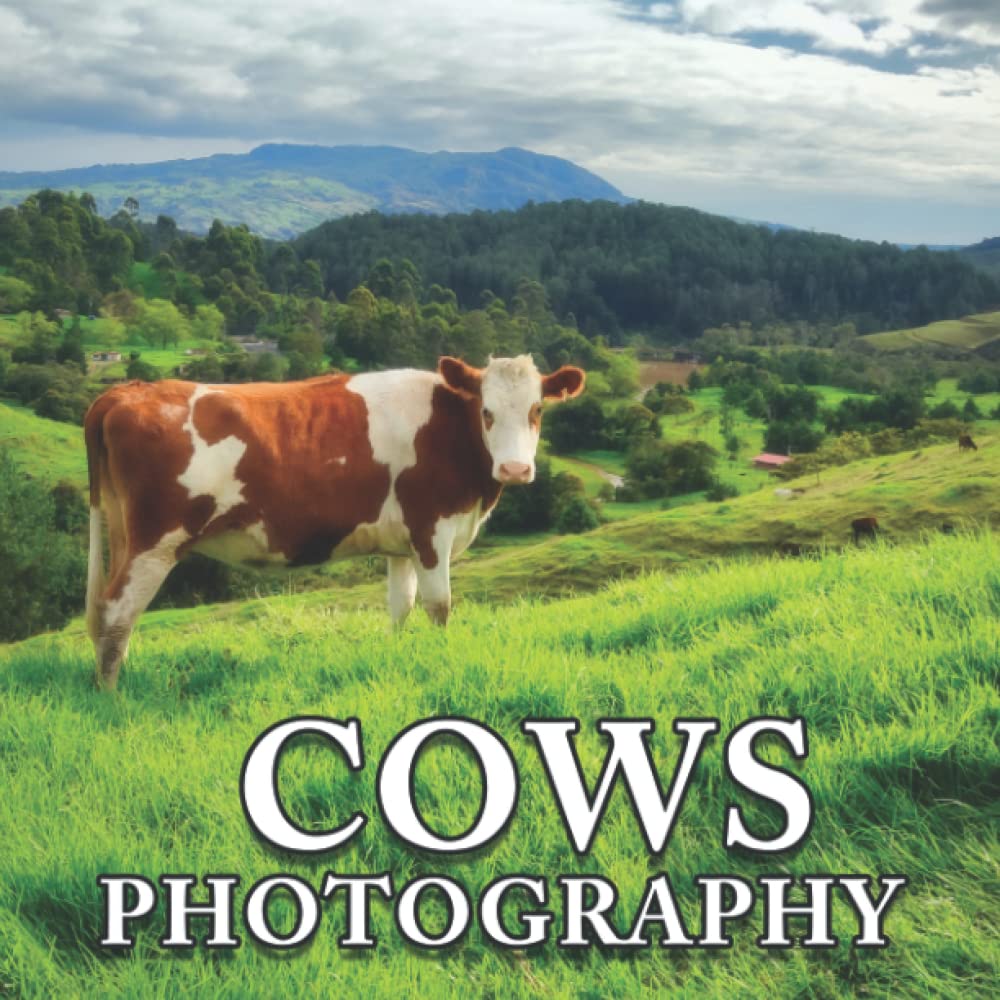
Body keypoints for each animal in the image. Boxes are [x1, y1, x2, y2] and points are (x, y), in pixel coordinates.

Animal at [84, 355, 585, 689]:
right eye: (487, 411)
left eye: (537, 410)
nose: (515, 469)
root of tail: (130, 390)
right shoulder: (432, 529)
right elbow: (439, 607)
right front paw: (442, 661)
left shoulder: (401, 544)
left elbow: (400, 607)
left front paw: (399, 657)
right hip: (155, 540)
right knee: (117, 612)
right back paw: (112, 695)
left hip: (123, 532)